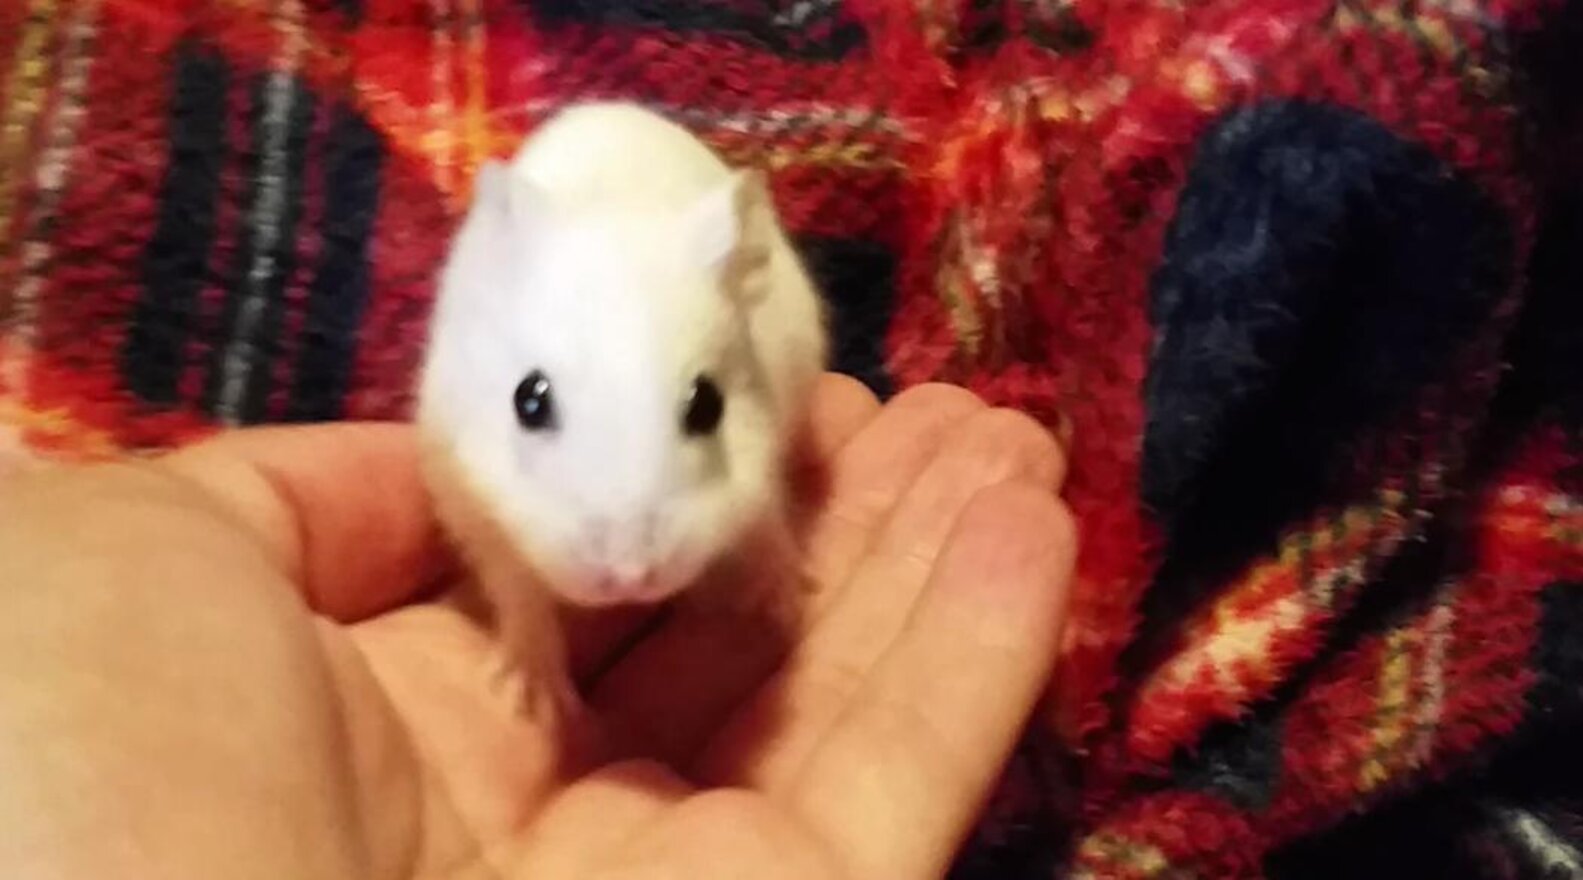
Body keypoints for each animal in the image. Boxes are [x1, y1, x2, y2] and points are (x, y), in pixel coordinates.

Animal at [415, 101, 829, 720]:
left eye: (709, 405)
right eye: (528, 400)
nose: (631, 578)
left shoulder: (764, 450)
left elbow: (766, 523)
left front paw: (786, 602)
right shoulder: (470, 506)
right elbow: (518, 592)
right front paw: (533, 701)